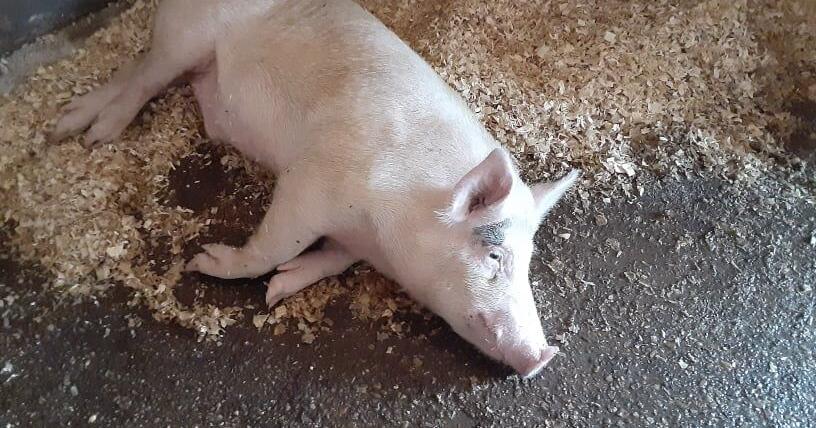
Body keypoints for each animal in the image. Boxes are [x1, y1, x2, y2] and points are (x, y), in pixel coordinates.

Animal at [51, 0, 580, 378]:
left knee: (135, 70)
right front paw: (205, 262)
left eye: (528, 263)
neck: (388, 229)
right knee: (144, 77)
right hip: (186, 36)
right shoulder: (308, 182)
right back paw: (95, 135)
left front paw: (281, 286)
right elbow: (274, 245)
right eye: (494, 254)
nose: (545, 355)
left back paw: (68, 123)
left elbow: (329, 259)